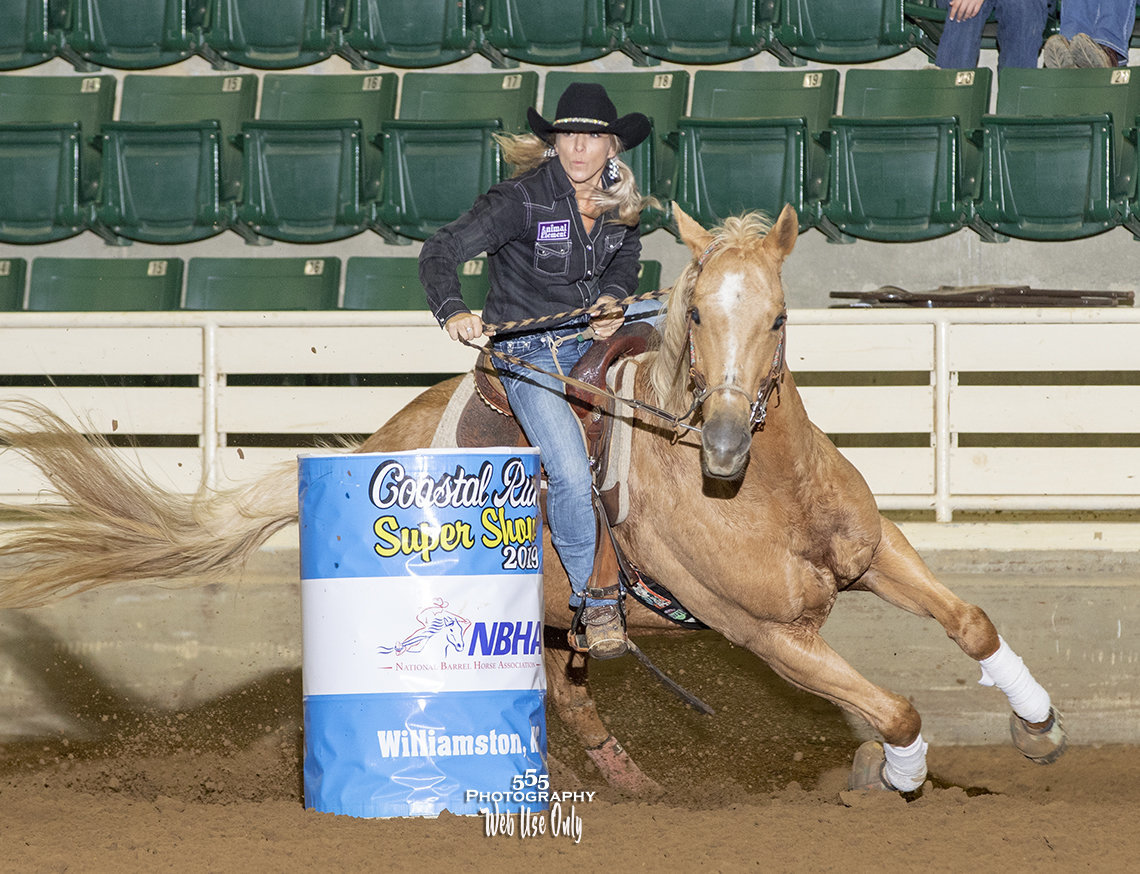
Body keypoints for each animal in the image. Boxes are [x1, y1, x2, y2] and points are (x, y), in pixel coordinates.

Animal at [0, 203, 1066, 795]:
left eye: (777, 317)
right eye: (694, 314)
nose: (724, 438)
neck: (755, 491)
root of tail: (371, 446)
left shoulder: (876, 552)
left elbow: (971, 622)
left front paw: (1038, 725)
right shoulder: (770, 637)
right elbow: (893, 709)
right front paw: (895, 775)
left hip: (555, 614)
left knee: (568, 689)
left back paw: (629, 779)